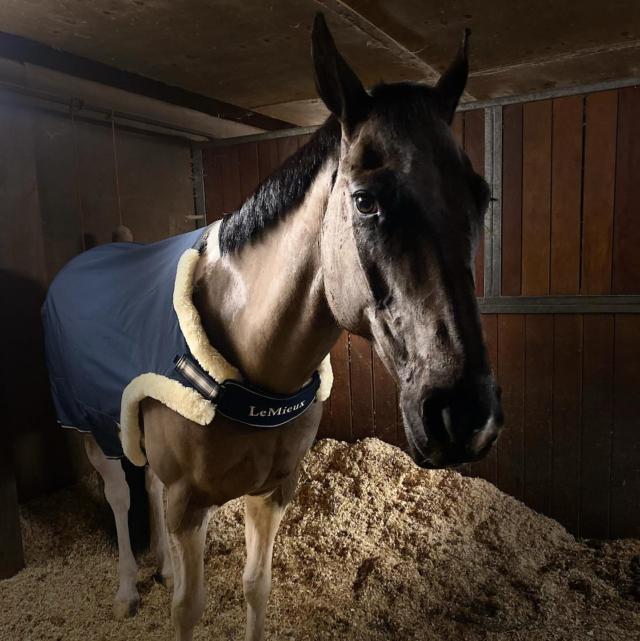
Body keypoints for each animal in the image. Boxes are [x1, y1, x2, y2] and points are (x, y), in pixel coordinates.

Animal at [42, 13, 502, 641]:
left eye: (481, 197)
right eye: (365, 201)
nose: (463, 415)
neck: (252, 360)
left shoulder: (273, 492)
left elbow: (255, 588)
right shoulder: (189, 505)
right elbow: (188, 607)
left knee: (148, 485)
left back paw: (160, 566)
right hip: (90, 426)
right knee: (118, 494)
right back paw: (127, 590)